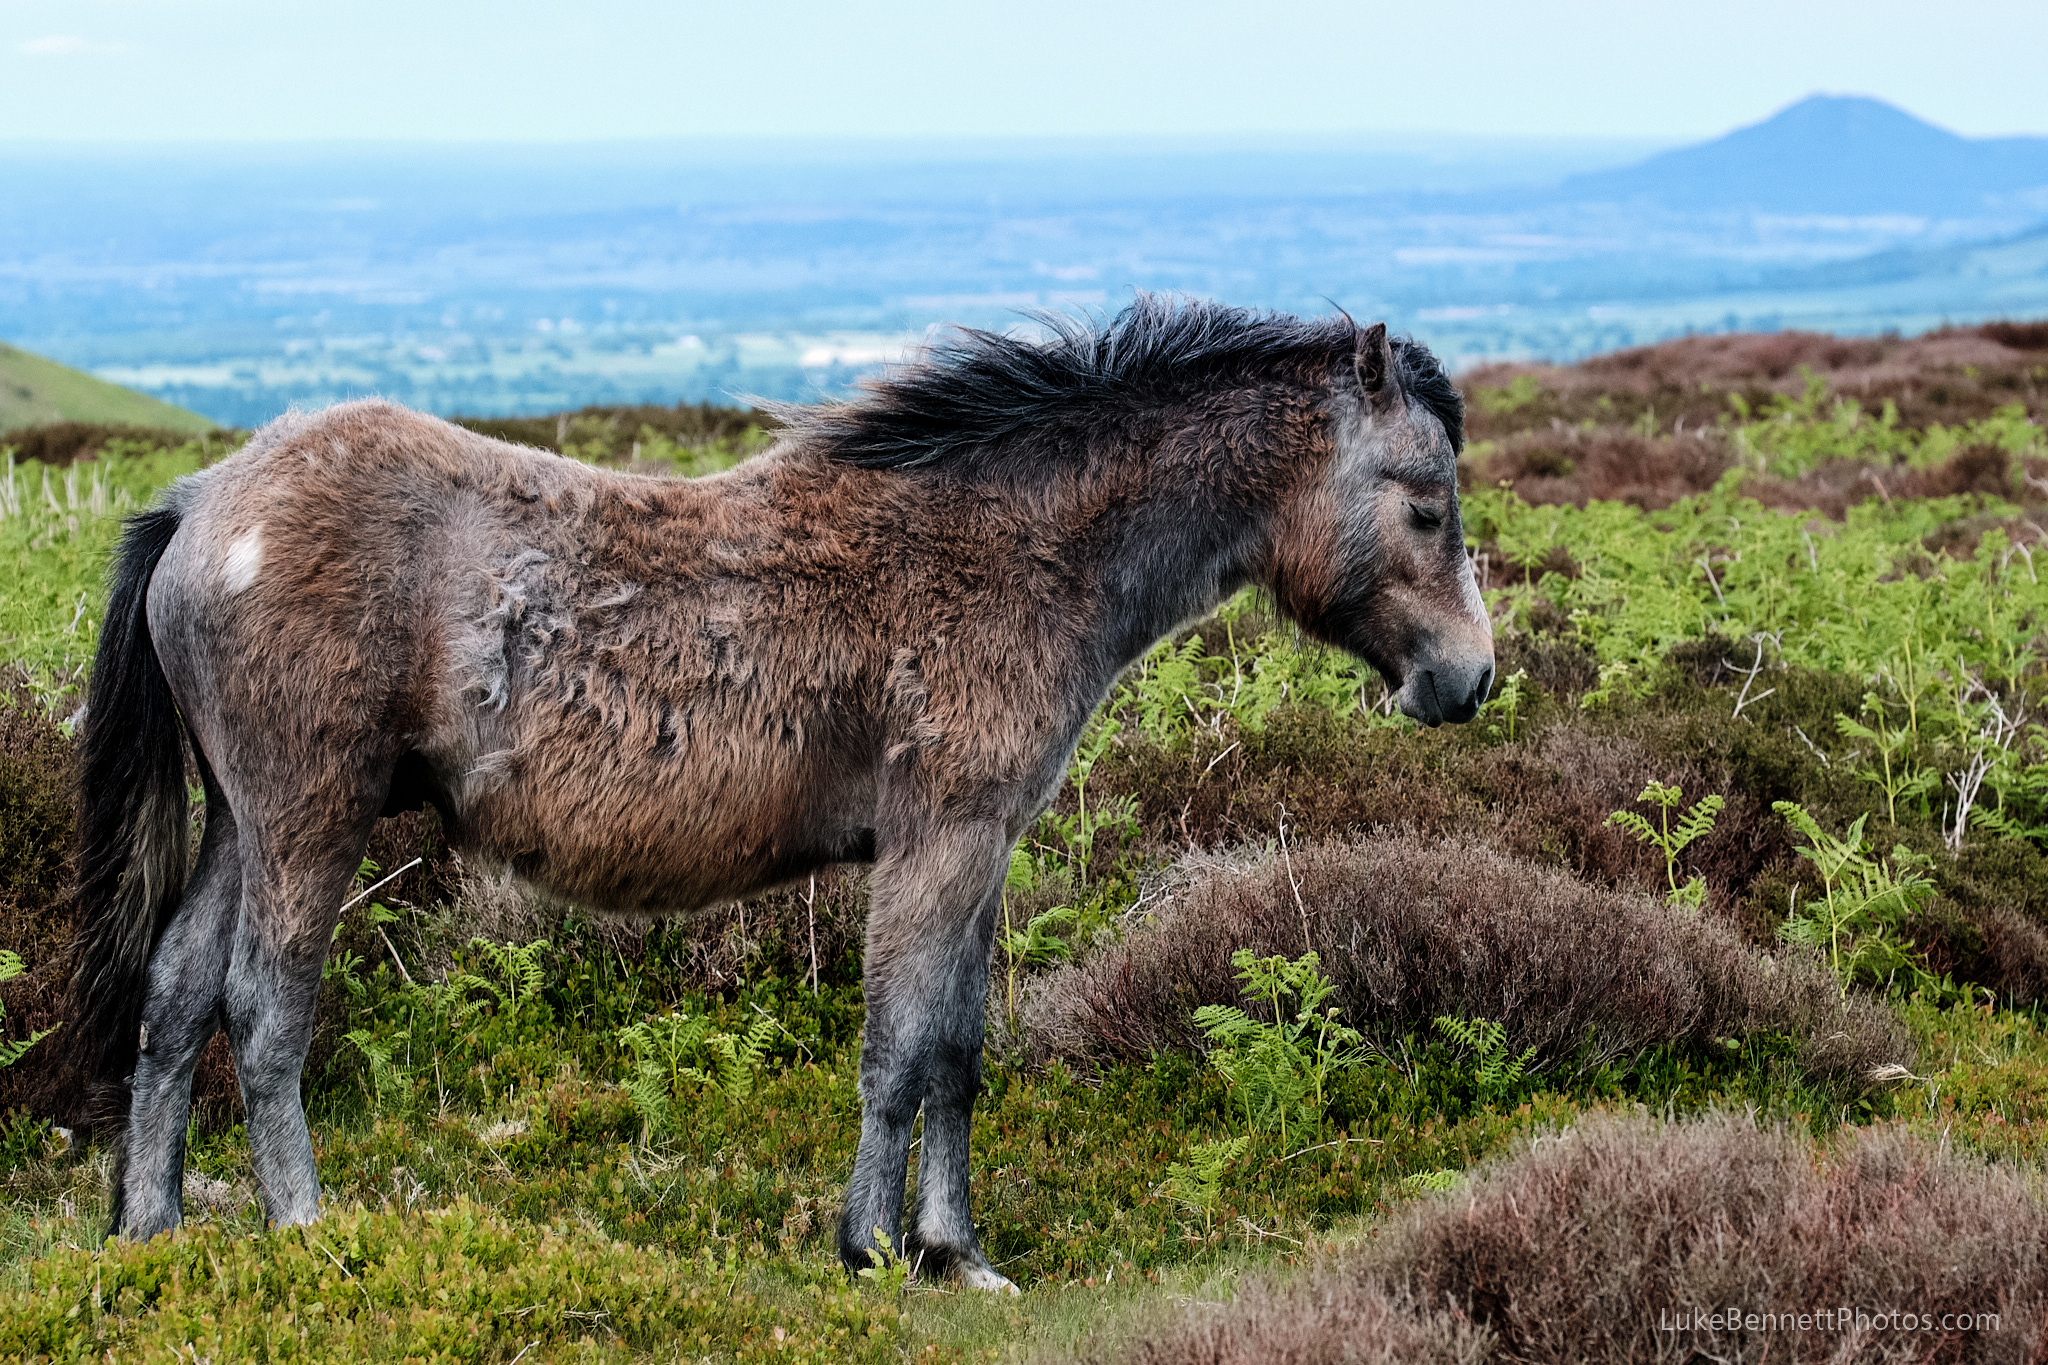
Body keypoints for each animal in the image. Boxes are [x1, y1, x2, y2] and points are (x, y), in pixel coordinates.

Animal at [72, 296, 1493, 1293]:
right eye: (1425, 507)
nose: (1468, 680)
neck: (1019, 550)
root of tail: (205, 501)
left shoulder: (977, 851)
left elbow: (957, 1053)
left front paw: (954, 1252)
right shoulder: (939, 844)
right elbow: (897, 1052)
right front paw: (872, 1249)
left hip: (242, 826)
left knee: (175, 993)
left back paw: (154, 1234)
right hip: (310, 820)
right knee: (261, 1009)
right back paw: (307, 1235)